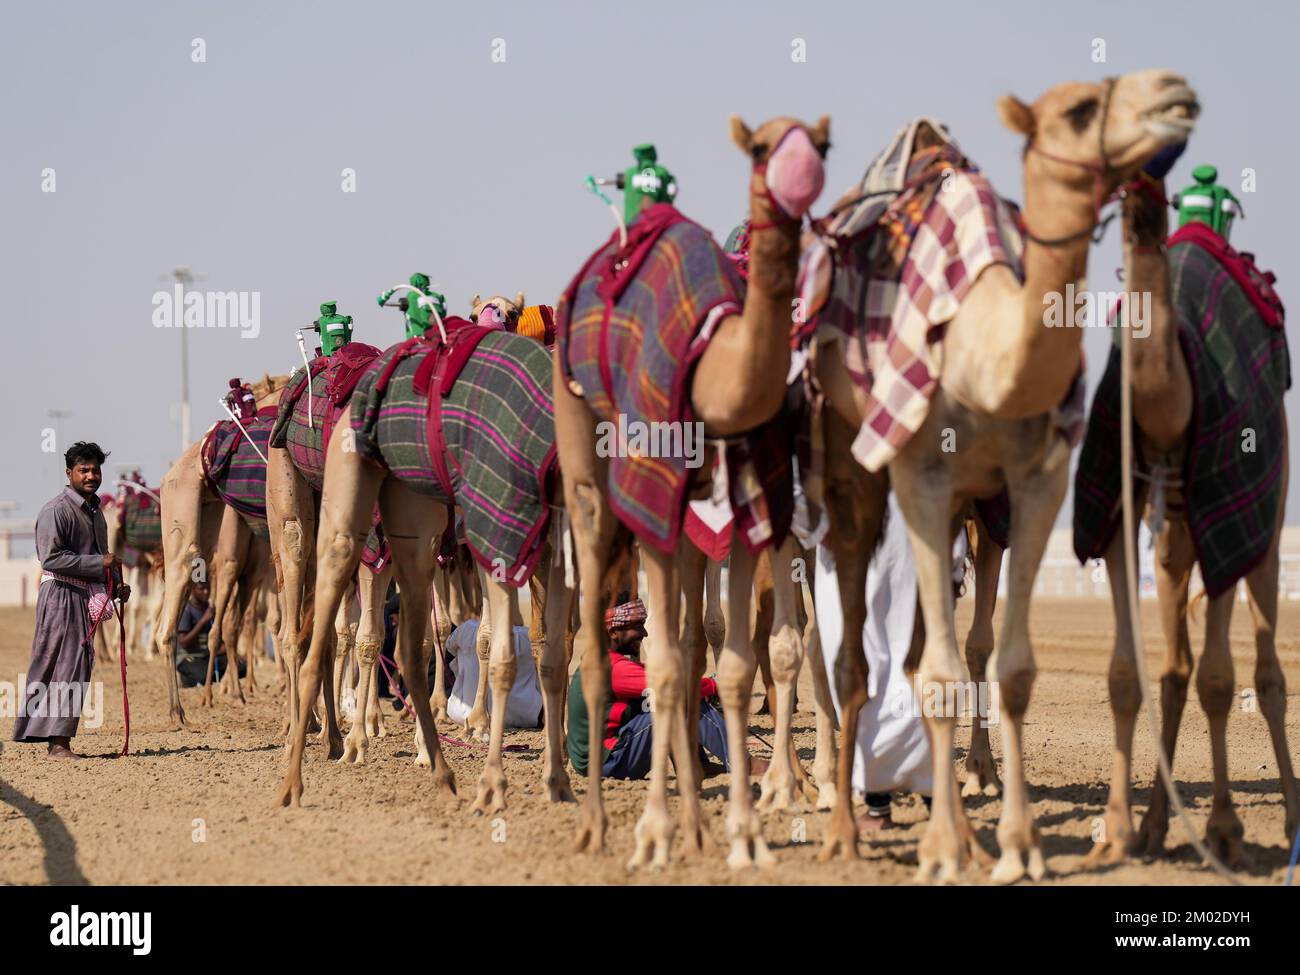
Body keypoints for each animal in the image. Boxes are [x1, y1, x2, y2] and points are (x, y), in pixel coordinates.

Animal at [555, 113, 830, 867]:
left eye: (821, 143)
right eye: (760, 147)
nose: (802, 176)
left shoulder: (755, 518)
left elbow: (760, 655)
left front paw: (765, 815)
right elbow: (676, 658)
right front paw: (658, 830)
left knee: (695, 639)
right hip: (591, 480)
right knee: (610, 644)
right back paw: (596, 821)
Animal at [812, 71, 1199, 882]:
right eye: (1079, 110)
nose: (1174, 92)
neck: (985, 356)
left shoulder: (1032, 487)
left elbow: (1007, 663)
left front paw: (1016, 841)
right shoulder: (922, 478)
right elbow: (934, 672)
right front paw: (945, 846)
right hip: (851, 477)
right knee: (845, 649)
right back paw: (839, 823)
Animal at [1083, 173, 1296, 865]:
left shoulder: (1228, 516)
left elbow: (1220, 680)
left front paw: (1225, 829)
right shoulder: (1118, 513)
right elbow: (1131, 673)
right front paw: (1117, 832)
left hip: (1266, 522)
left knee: (1265, 672)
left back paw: (1288, 824)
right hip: (1174, 540)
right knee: (1175, 667)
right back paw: (1155, 824)